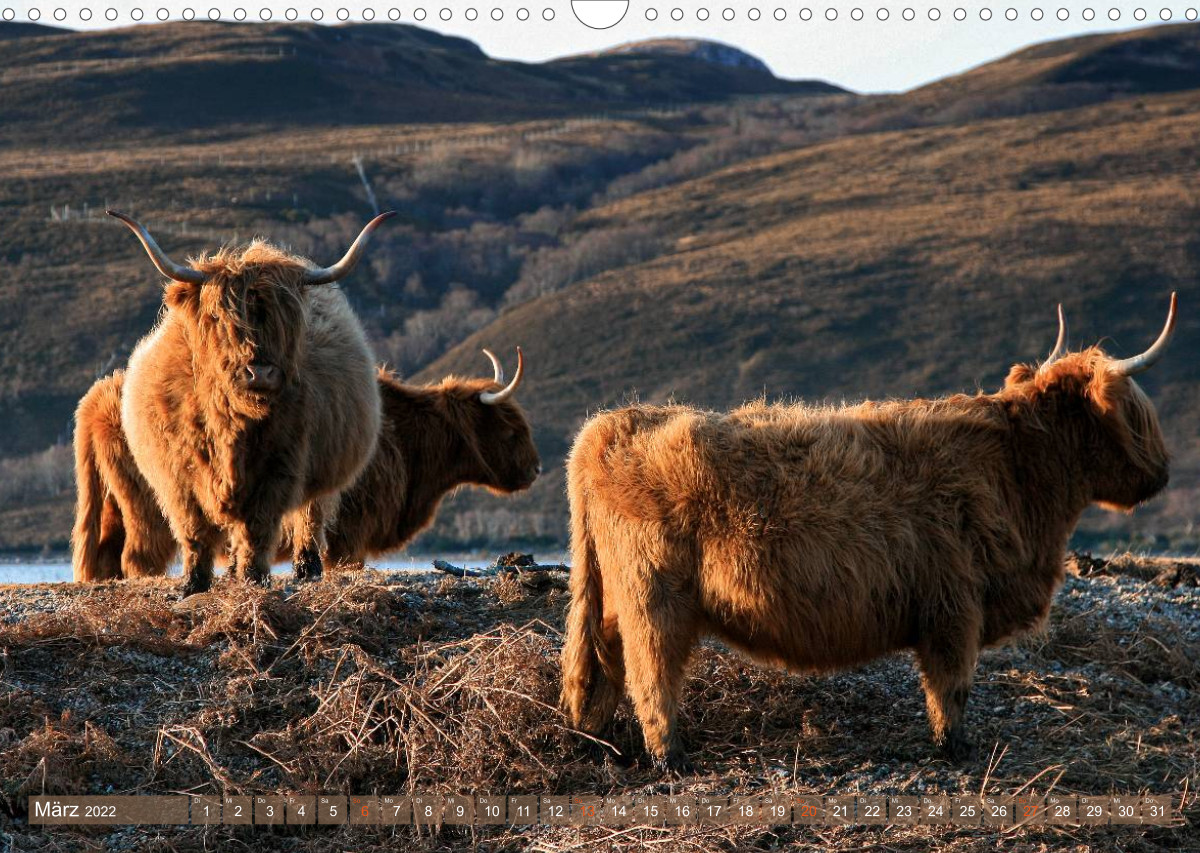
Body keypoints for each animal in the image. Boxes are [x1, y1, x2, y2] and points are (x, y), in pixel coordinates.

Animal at [72, 350, 539, 581]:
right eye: (511, 430)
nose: (535, 470)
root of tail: (97, 397)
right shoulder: (351, 535)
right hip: (152, 508)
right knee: (138, 557)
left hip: (114, 502)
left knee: (106, 554)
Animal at [85, 211, 389, 595]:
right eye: (220, 318)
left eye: (288, 320)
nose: (261, 372)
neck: (233, 423)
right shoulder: (179, 476)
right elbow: (195, 529)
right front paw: (193, 583)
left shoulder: (280, 468)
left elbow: (259, 527)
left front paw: (254, 577)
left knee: (310, 515)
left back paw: (307, 568)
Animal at [560, 296, 1177, 774]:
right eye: (1135, 409)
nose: (1164, 472)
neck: (1018, 470)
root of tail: (612, 422)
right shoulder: (955, 606)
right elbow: (951, 686)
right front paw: (954, 747)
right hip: (654, 596)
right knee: (651, 674)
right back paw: (670, 756)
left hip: (616, 595)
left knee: (604, 658)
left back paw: (600, 739)